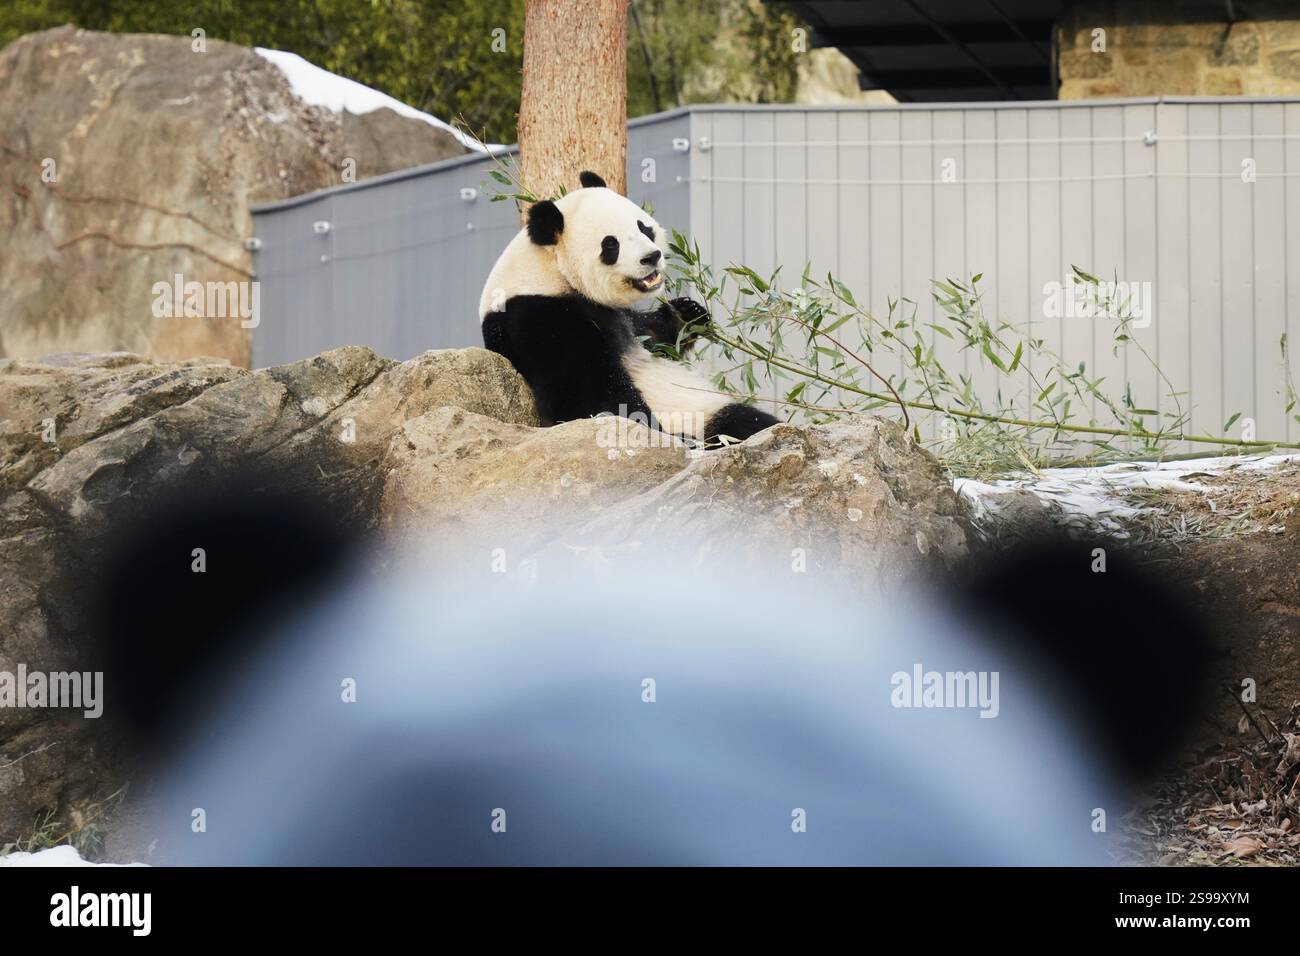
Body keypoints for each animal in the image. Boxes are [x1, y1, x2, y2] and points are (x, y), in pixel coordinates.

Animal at [479, 170, 779, 444]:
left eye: (643, 227)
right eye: (611, 244)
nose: (652, 257)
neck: (550, 272)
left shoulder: (619, 316)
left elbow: (654, 335)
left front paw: (687, 314)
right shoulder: (539, 317)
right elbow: (588, 393)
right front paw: (673, 438)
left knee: (748, 420)